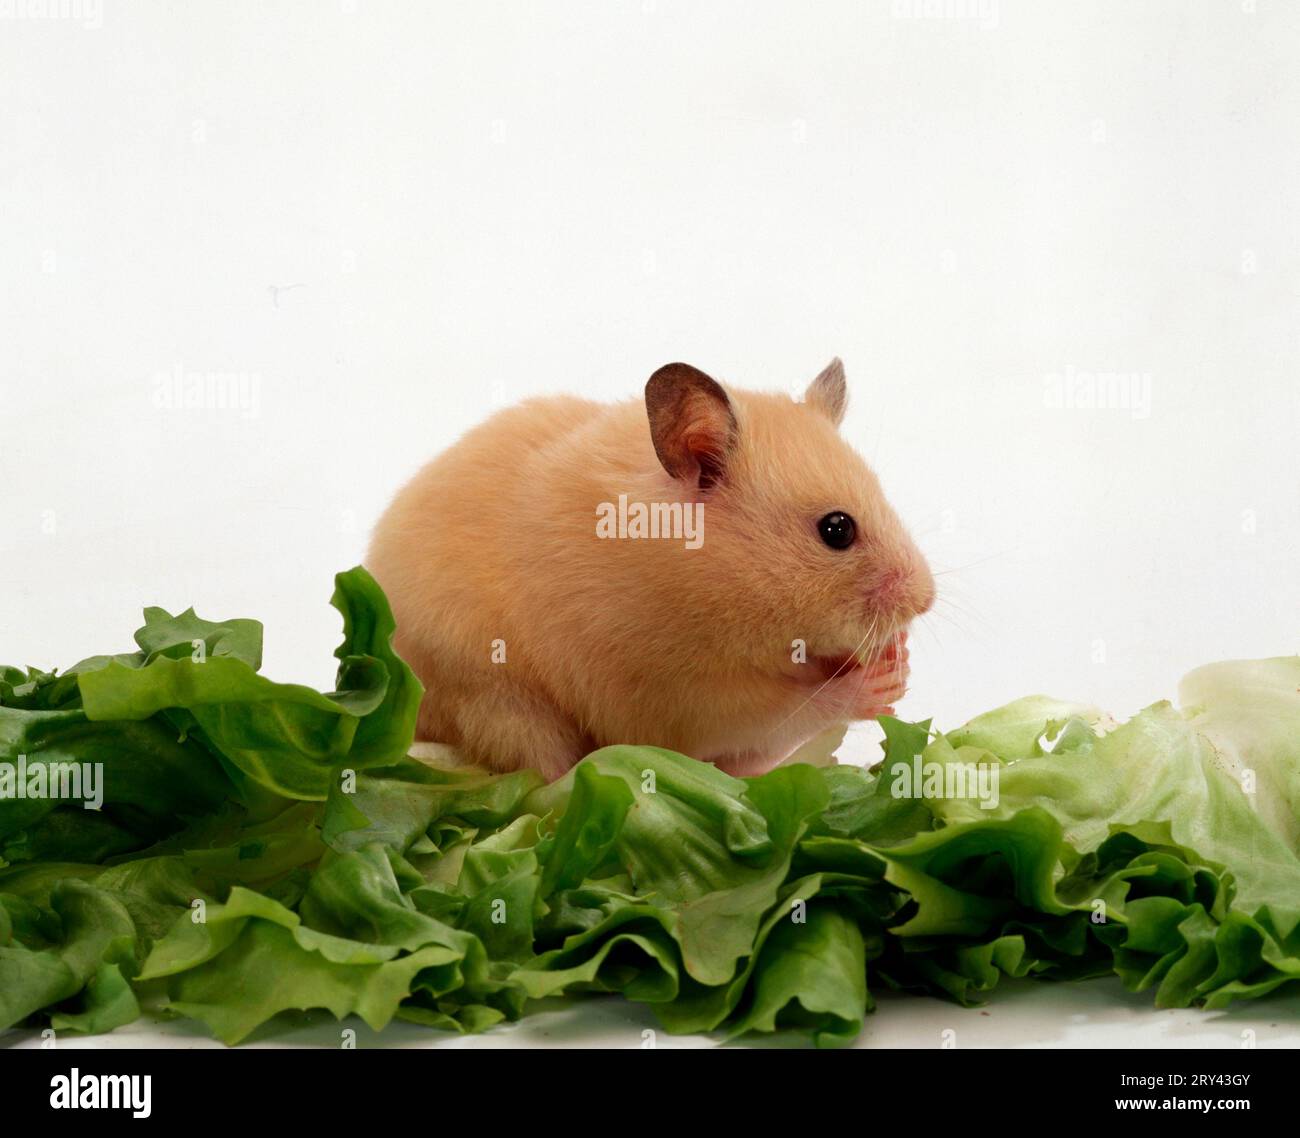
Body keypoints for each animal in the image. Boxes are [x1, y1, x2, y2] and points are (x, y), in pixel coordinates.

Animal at [367, 359, 934, 781]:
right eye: (837, 529)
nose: (925, 601)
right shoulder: (677, 698)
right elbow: (788, 709)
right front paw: (881, 681)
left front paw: (899, 659)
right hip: (496, 703)